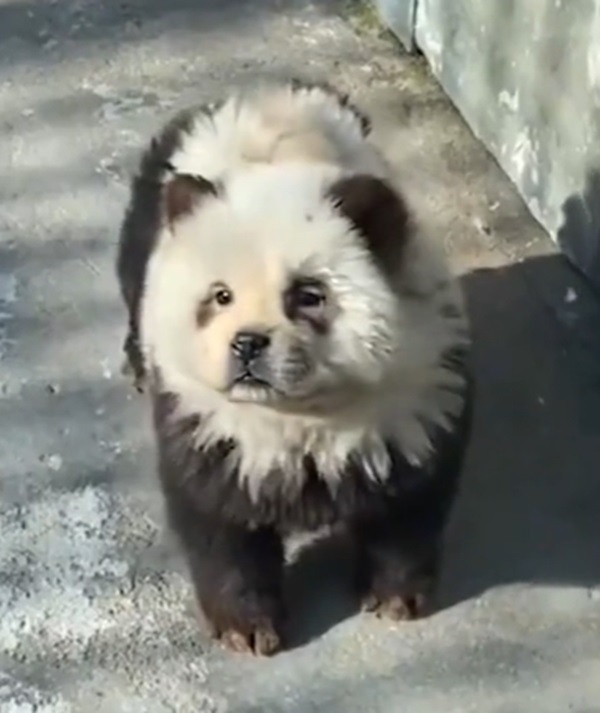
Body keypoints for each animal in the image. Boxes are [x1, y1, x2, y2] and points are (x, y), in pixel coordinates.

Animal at [116, 79, 473, 656]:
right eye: (220, 296)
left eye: (308, 295)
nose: (247, 345)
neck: (301, 415)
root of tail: (263, 93)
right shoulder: (209, 424)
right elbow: (220, 523)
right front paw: (246, 627)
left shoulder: (417, 396)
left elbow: (409, 506)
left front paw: (395, 597)